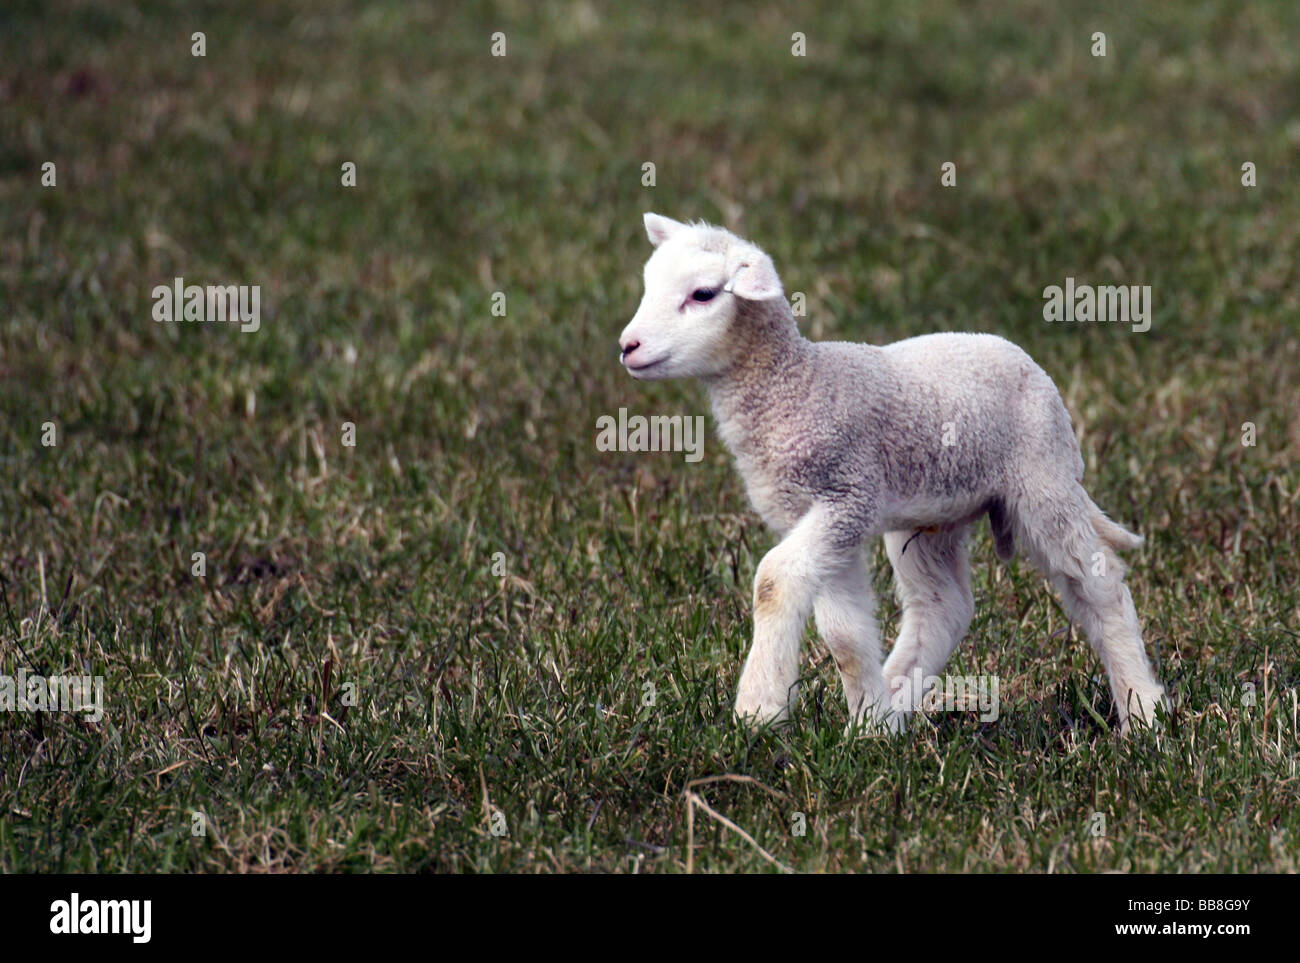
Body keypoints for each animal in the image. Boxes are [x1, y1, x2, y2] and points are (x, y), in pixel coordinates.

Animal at [618, 212, 1168, 734]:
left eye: (703, 294)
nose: (628, 346)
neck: (795, 385)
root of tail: (1025, 359)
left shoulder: (846, 496)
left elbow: (773, 581)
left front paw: (759, 710)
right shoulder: (822, 518)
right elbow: (843, 633)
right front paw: (867, 728)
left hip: (1043, 478)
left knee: (1099, 584)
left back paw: (1143, 712)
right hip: (933, 515)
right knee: (942, 607)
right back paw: (895, 706)